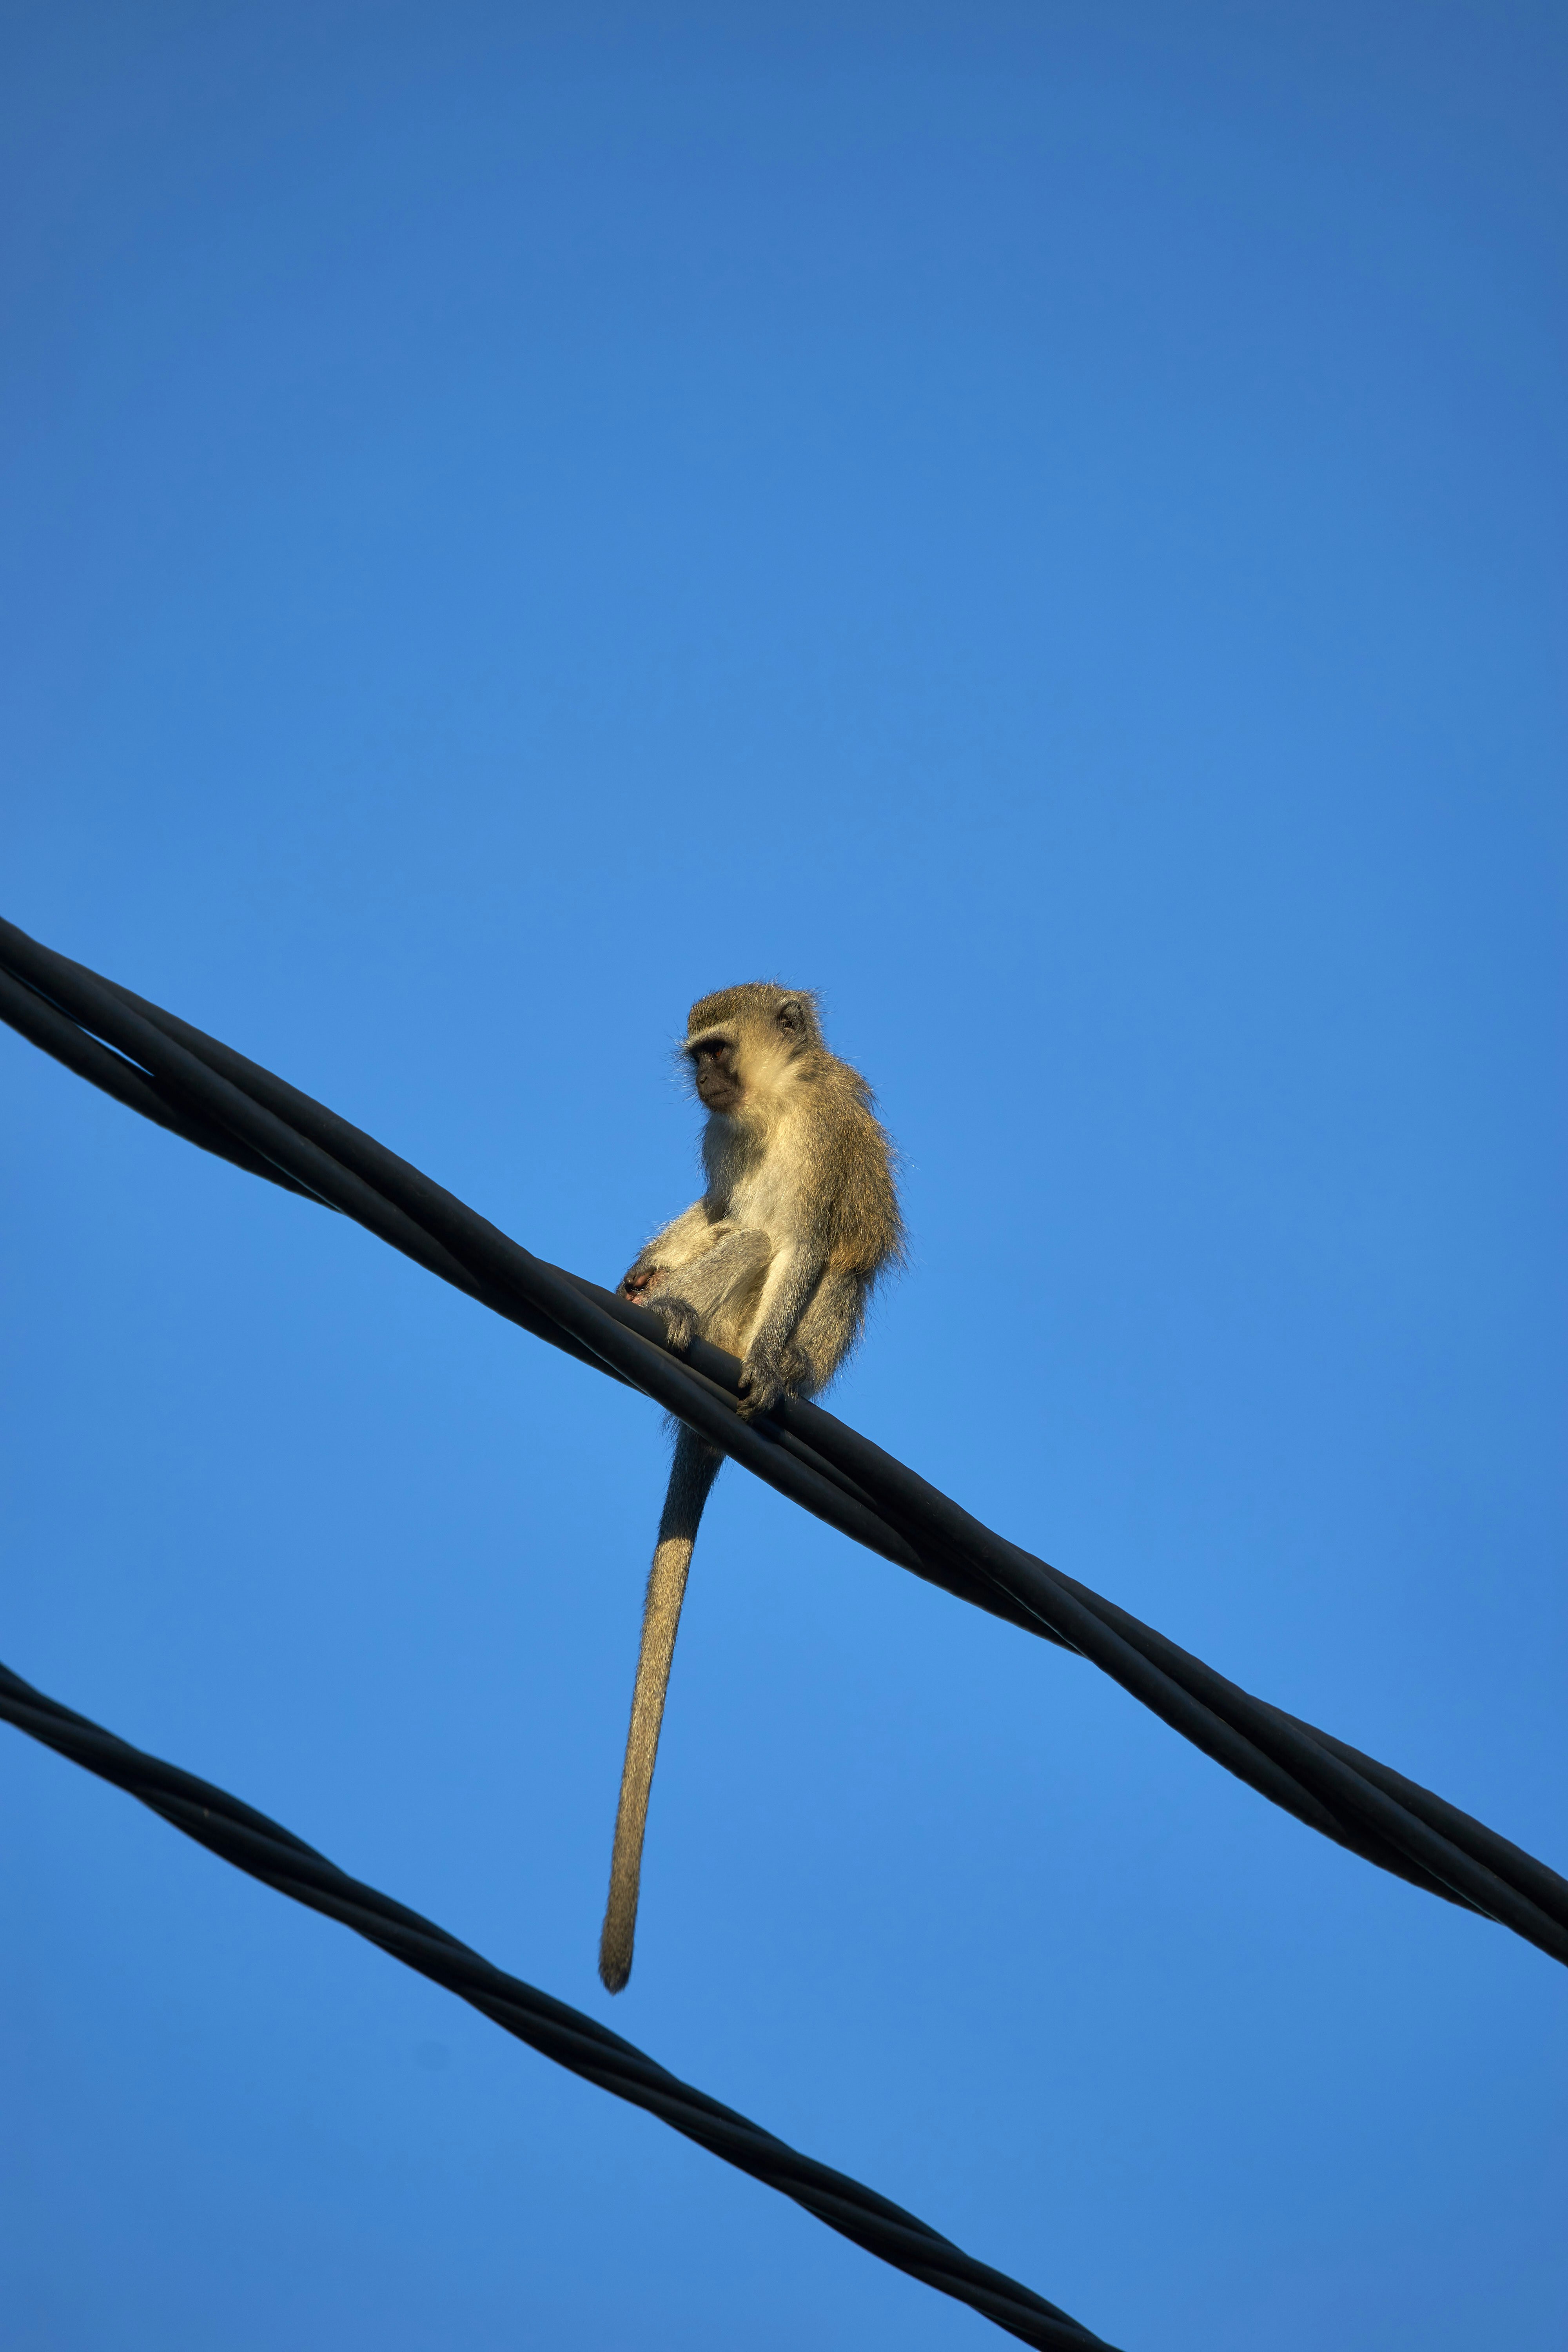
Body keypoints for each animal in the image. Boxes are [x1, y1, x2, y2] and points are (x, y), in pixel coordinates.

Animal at [599, 983, 902, 1993]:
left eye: (718, 1050)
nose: (703, 1082)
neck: (770, 1107)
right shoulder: (722, 1142)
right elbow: (716, 1206)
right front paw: (645, 1263)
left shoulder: (821, 1134)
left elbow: (801, 1241)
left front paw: (759, 1365)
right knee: (739, 1228)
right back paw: (651, 1294)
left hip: (793, 1339)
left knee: (772, 1246)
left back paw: (678, 1318)